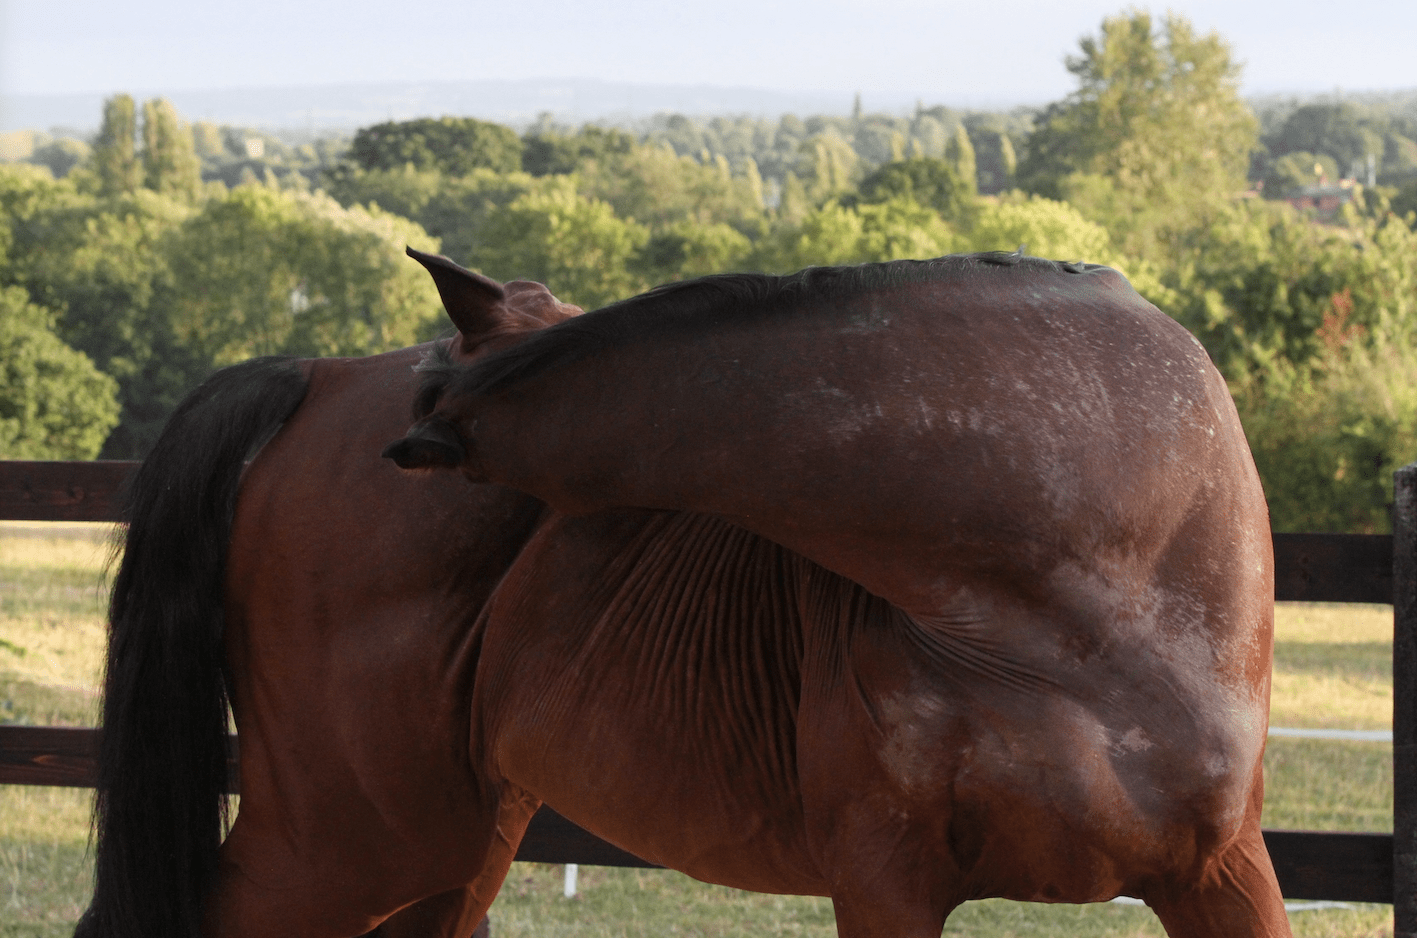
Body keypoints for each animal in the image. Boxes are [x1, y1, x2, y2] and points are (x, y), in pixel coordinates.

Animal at [78, 248, 1289, 938]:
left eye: (441, 377)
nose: (404, 445)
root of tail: (314, 376)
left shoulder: (1221, 872)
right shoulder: (887, 877)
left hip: (442, 846)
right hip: (347, 845)